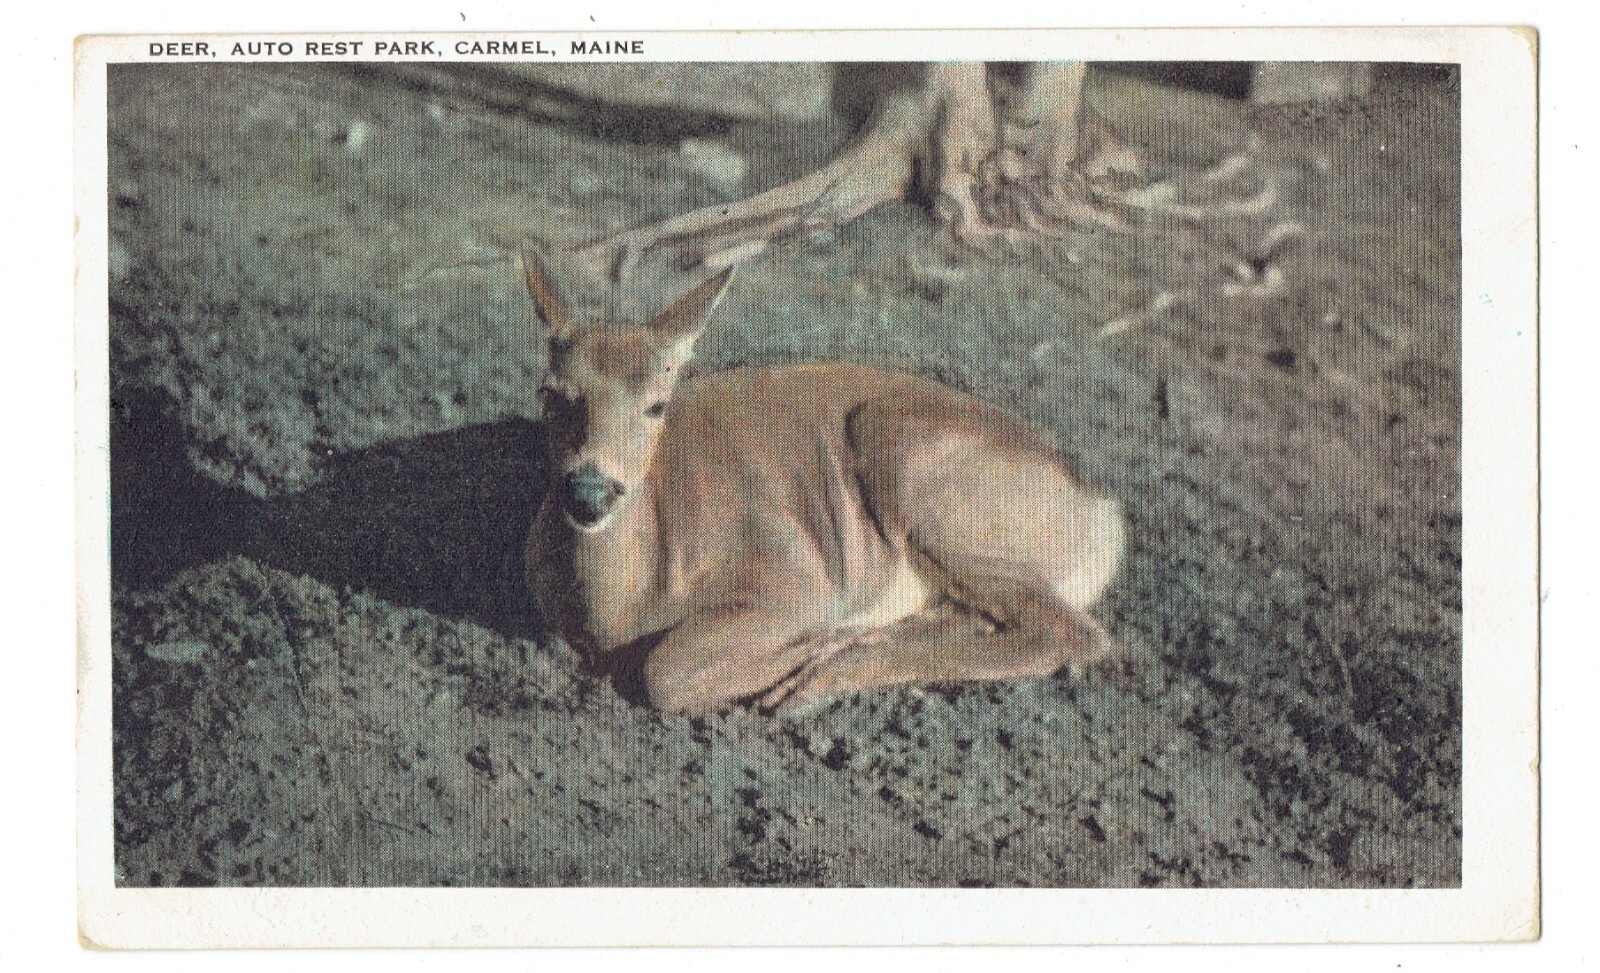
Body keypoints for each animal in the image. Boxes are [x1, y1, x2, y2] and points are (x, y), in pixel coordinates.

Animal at [520, 242, 1126, 714]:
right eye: (550, 391)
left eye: (656, 404)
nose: (590, 491)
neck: (621, 609)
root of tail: (1106, 514)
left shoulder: (791, 573)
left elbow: (663, 671)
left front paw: (810, 655)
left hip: (912, 464)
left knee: (1076, 632)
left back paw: (821, 676)